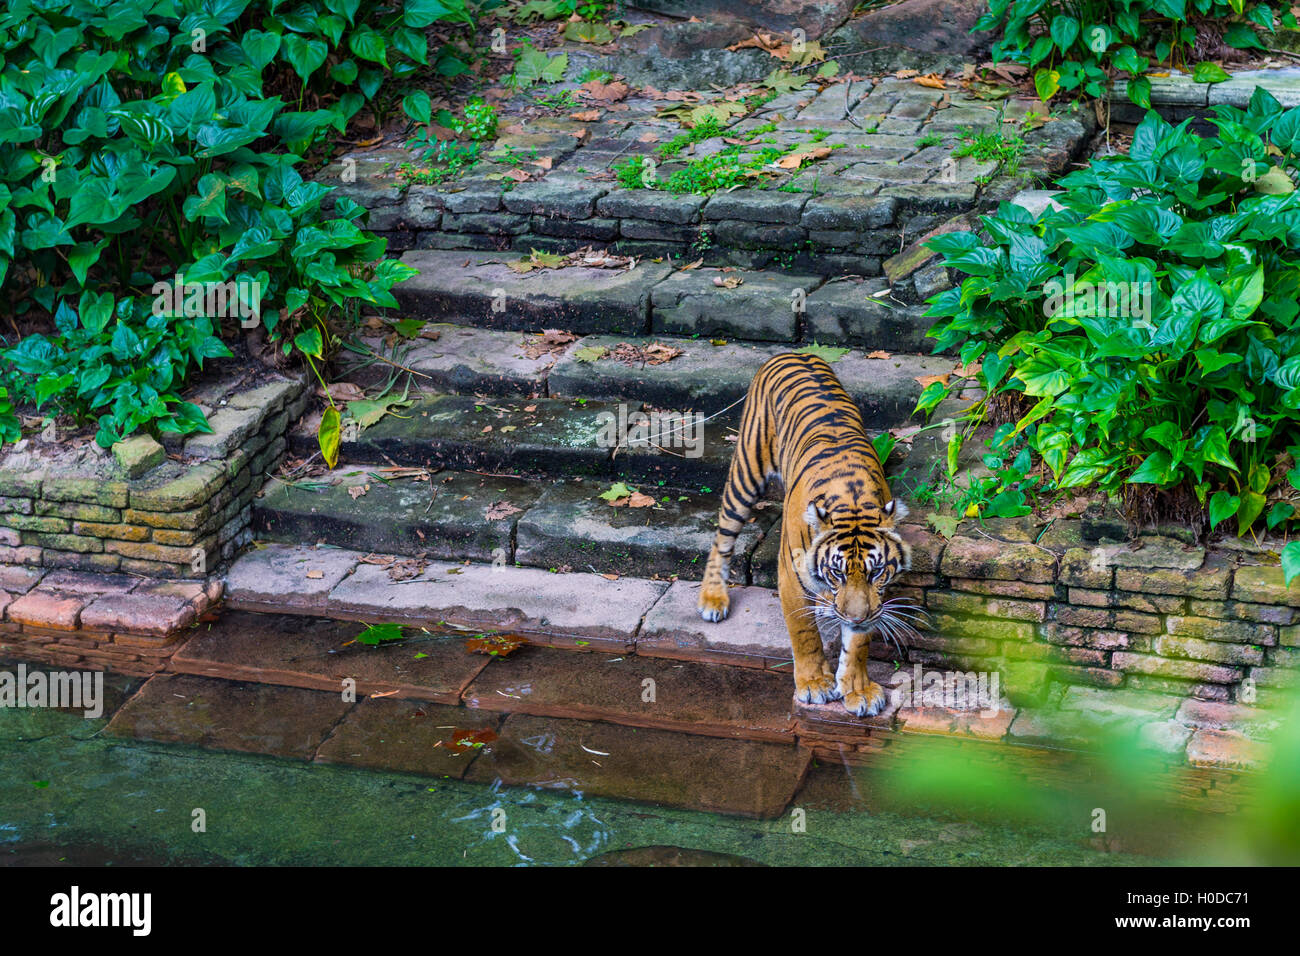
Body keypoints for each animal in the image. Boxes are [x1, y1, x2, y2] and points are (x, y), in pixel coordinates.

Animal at [697, 352, 915, 717]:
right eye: (837, 572)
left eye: (876, 573)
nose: (855, 616)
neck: (852, 500)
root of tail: (791, 353)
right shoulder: (790, 576)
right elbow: (804, 634)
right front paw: (814, 684)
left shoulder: (872, 600)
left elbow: (858, 643)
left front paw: (858, 689)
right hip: (745, 473)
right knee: (722, 539)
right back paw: (713, 600)